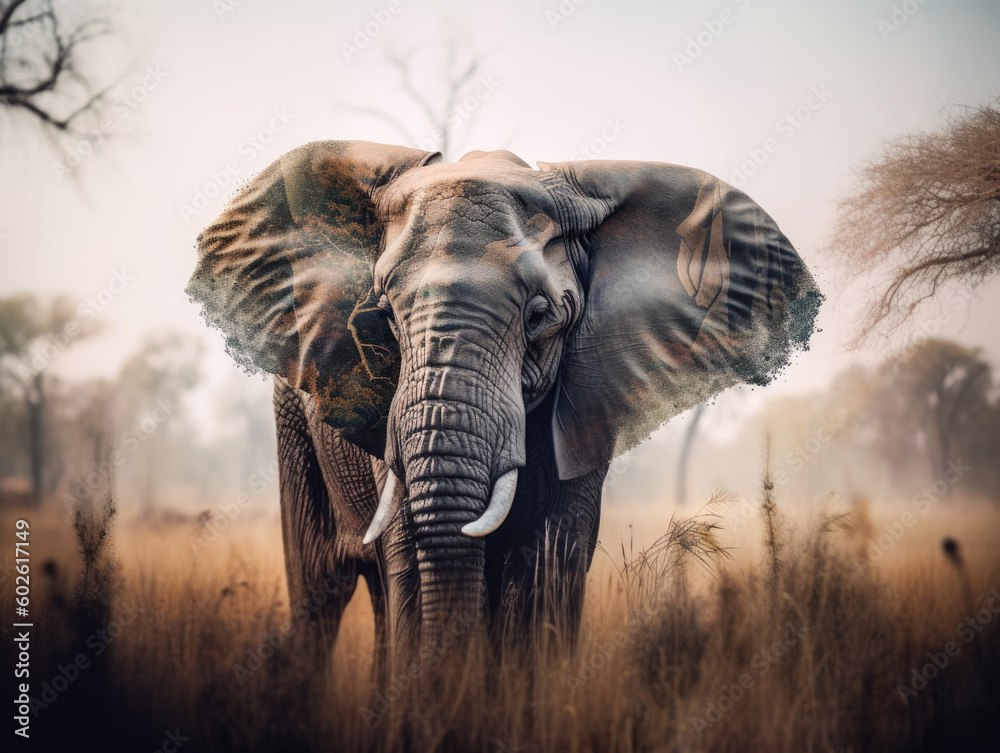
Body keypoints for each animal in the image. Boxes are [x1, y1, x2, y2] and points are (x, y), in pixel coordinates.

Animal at [186, 140, 820, 669]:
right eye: (384, 316)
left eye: (540, 317)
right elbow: (409, 554)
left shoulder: (587, 403)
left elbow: (549, 563)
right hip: (293, 426)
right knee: (322, 592)